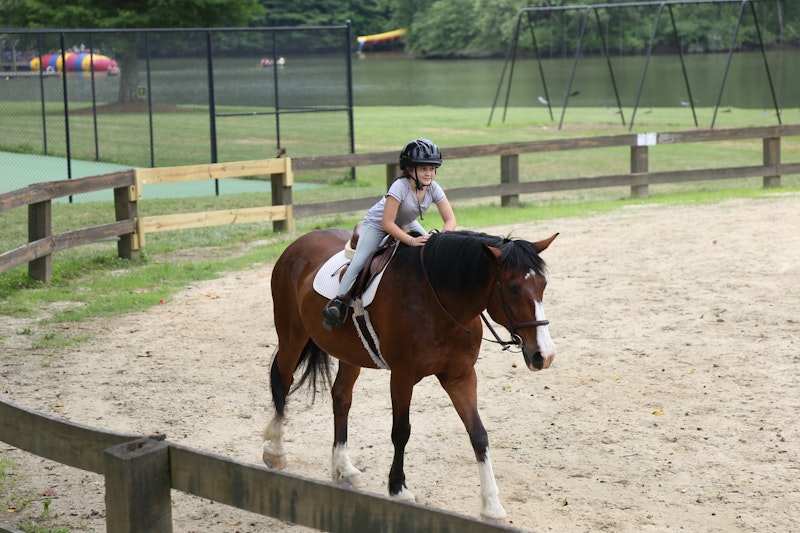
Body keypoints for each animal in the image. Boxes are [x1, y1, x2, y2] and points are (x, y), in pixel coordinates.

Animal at [262, 228, 558, 520]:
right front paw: (398, 487)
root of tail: (298, 243)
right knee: (282, 382)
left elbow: (478, 434)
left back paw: (344, 469)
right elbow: (401, 431)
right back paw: (275, 451)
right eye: (513, 288)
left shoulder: (460, 377)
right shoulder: (402, 377)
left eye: (543, 285)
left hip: (349, 354)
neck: (438, 300)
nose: (544, 354)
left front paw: (492, 506)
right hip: (292, 337)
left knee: (341, 398)